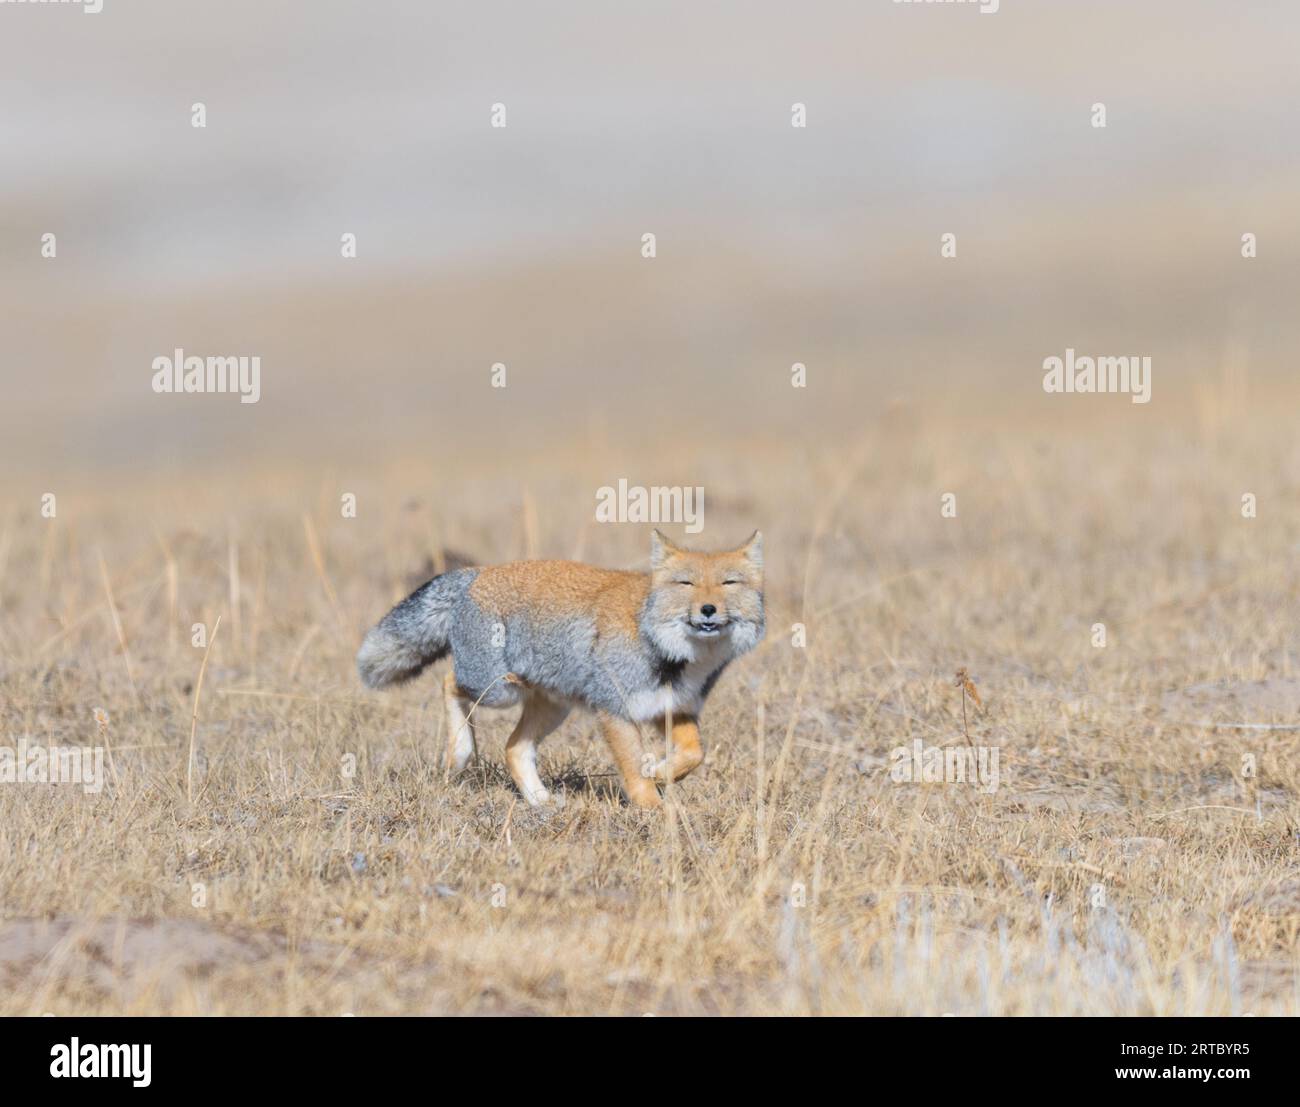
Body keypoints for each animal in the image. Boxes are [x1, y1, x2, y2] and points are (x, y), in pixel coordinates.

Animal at [356, 529, 764, 809]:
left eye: (729, 583)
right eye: (686, 583)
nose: (708, 610)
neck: (673, 655)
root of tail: (478, 571)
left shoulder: (674, 708)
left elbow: (695, 754)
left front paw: (662, 772)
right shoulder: (614, 710)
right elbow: (633, 770)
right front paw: (653, 809)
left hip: (553, 708)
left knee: (513, 748)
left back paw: (540, 801)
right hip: (499, 690)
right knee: (448, 681)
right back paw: (460, 752)